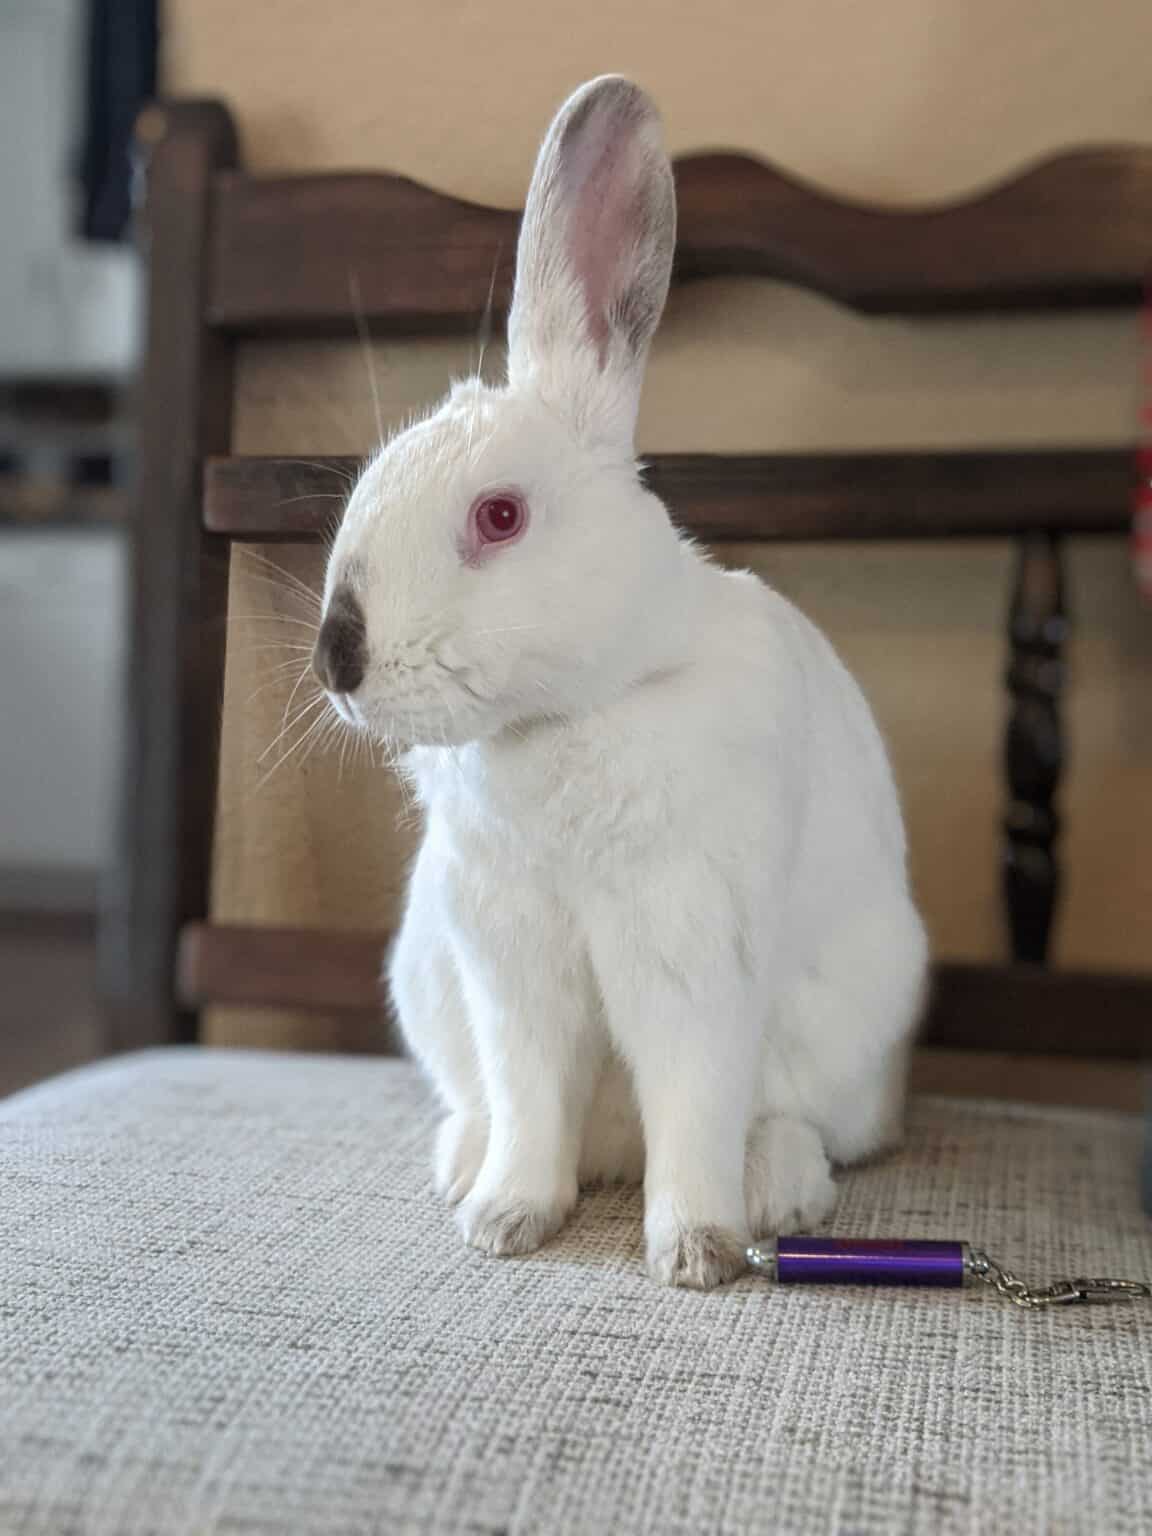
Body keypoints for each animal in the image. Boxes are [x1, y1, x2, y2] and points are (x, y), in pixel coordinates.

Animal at [311, 75, 928, 1289]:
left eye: (500, 515)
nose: (337, 655)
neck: (574, 710)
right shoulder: (507, 962)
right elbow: (530, 1096)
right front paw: (507, 1217)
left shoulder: (690, 945)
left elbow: (693, 1102)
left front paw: (694, 1249)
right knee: (493, 1104)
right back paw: (463, 1160)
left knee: (793, 1120)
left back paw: (777, 1191)